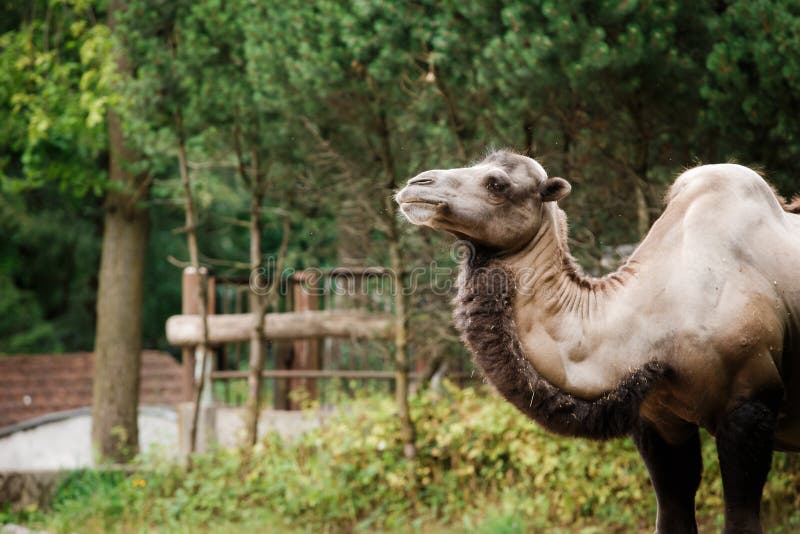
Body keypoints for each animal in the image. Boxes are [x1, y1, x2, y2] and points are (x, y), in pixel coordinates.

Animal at [395, 150, 800, 534]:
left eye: (497, 184)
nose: (416, 184)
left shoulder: (750, 402)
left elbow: (741, 522)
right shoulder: (657, 418)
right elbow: (672, 516)